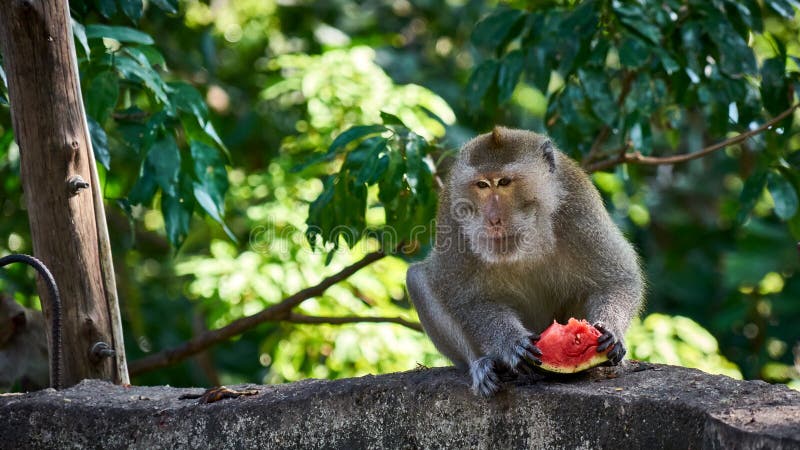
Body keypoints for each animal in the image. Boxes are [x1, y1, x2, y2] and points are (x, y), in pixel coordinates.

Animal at [406, 127, 643, 396]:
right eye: (482, 185)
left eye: (504, 182)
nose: (493, 219)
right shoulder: (453, 219)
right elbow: (467, 297)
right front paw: (510, 343)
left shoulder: (578, 207)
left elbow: (617, 279)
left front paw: (612, 331)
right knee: (417, 277)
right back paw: (483, 363)